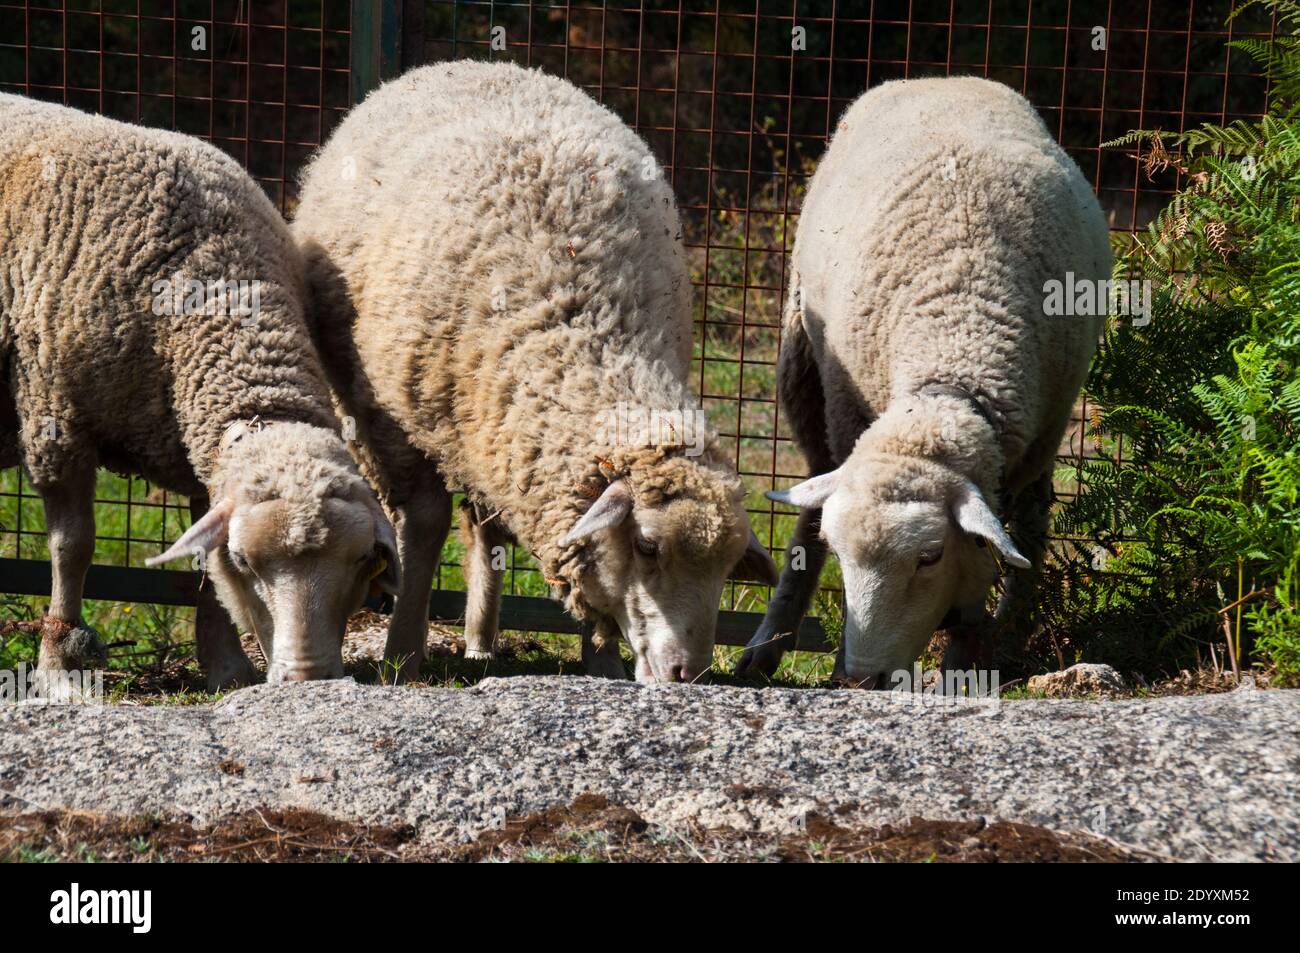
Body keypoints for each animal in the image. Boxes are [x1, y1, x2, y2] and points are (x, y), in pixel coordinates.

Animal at [0, 93, 400, 687]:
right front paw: (59, 668)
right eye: (248, 563)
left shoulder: (197, 453)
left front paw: (228, 668)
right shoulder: (55, 418)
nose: (309, 680)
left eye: (360, 562)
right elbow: (72, 546)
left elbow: (206, 565)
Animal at [293, 61, 778, 684]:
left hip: (487, 425)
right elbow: (424, 526)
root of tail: (474, 63)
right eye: (647, 545)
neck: (587, 329)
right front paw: (401, 656)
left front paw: (602, 663)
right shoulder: (388, 419)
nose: (685, 674)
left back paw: (481, 641)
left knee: (487, 528)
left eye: (726, 567)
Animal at [735, 77, 1112, 686]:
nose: (862, 677)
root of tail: (945, 78)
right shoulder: (850, 418)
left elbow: (1003, 547)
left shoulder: (1034, 441)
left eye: (930, 556)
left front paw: (973, 654)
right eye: (843, 556)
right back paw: (766, 646)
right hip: (805, 377)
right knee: (811, 501)